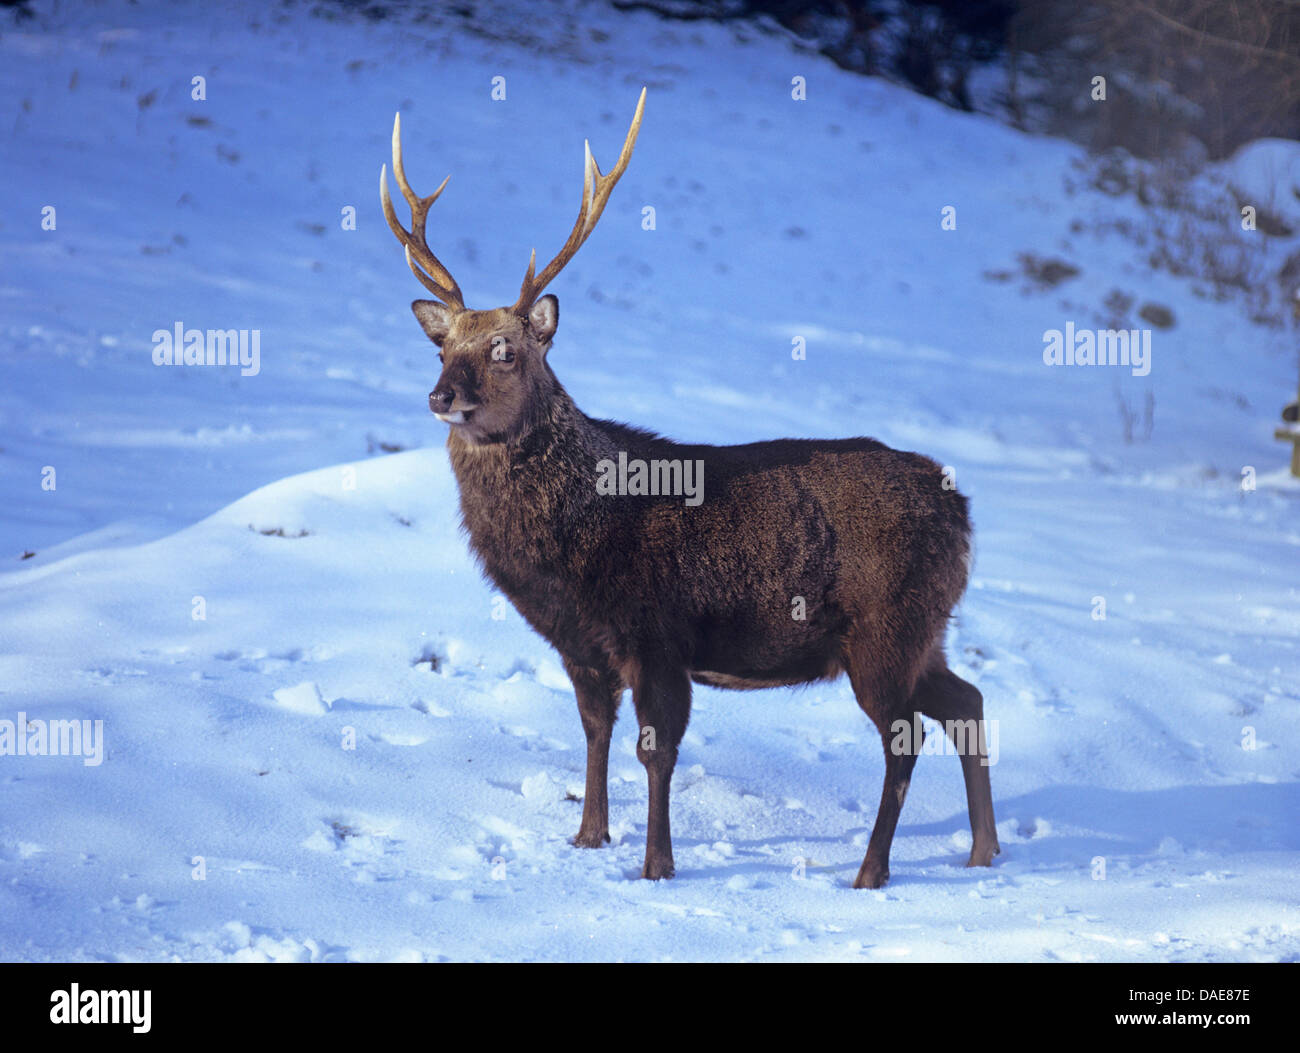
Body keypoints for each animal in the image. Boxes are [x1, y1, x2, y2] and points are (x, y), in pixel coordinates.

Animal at [379, 88, 1000, 887]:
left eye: (504, 350)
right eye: (441, 347)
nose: (441, 395)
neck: (571, 544)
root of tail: (961, 509)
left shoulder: (655, 632)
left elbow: (657, 751)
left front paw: (656, 865)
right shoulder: (582, 646)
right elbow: (594, 731)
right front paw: (588, 837)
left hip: (886, 625)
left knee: (905, 737)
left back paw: (870, 872)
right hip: (926, 632)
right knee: (967, 701)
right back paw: (982, 850)